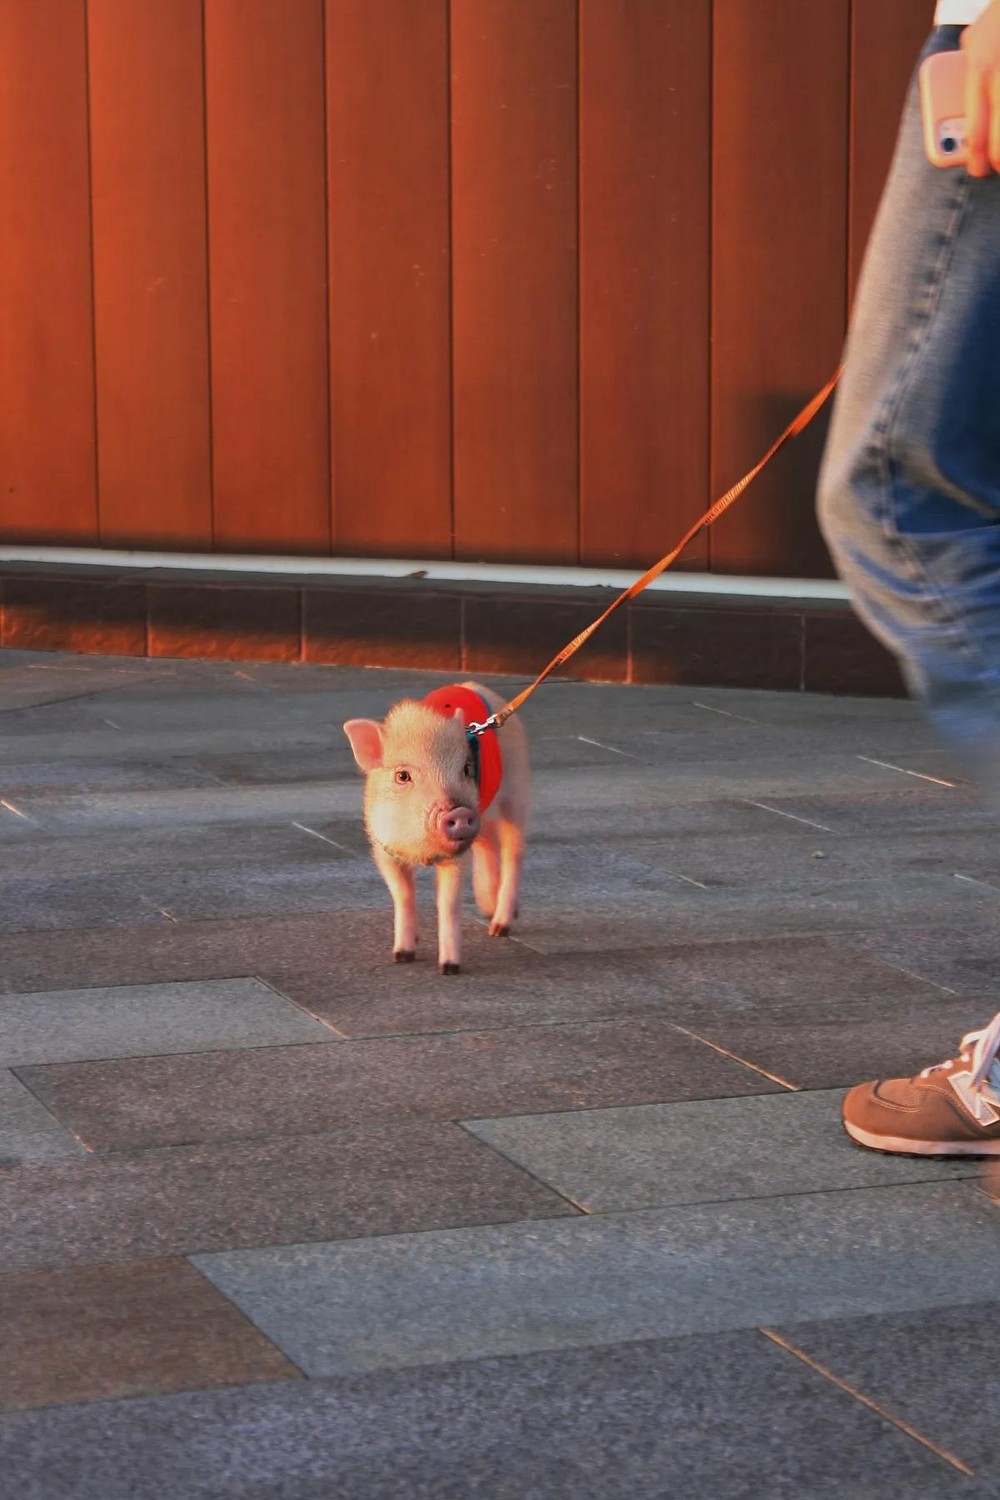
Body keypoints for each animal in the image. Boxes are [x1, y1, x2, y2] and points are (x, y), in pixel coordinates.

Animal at [343, 681, 530, 974]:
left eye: (466, 769)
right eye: (402, 776)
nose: (460, 812)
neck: (421, 851)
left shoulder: (455, 857)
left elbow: (448, 904)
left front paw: (450, 968)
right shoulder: (383, 850)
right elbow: (402, 894)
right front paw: (402, 956)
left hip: (516, 791)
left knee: (513, 852)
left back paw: (499, 927)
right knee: (488, 844)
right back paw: (488, 909)